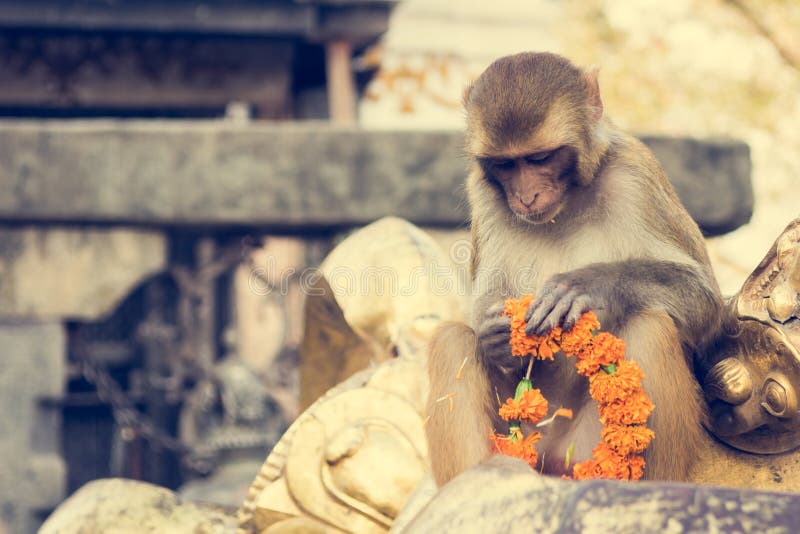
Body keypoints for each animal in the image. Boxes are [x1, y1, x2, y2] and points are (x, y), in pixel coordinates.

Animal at [425, 52, 726, 486]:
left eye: (538, 158)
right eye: (505, 165)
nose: (525, 196)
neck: (567, 203)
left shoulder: (637, 173)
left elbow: (705, 301)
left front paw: (588, 285)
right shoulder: (483, 194)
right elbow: (484, 304)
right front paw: (497, 337)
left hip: (582, 450)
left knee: (650, 325)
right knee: (452, 341)